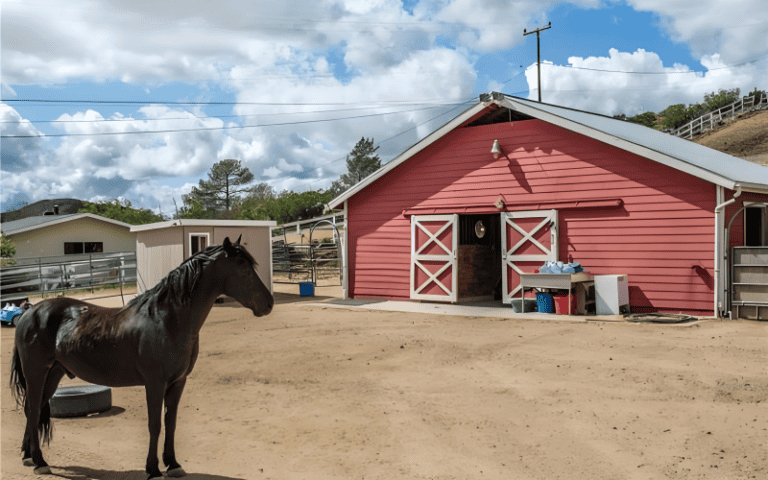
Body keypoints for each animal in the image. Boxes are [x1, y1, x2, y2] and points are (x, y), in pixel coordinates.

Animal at [10, 235, 274, 479]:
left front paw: (173, 464)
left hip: (53, 373)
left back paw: (27, 456)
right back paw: (40, 461)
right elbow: (155, 424)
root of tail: (29, 312)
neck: (167, 319)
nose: (269, 304)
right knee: (32, 410)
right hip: (36, 372)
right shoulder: (155, 383)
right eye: (241, 264)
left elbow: (171, 422)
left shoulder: (178, 382)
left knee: (32, 409)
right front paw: (153, 468)